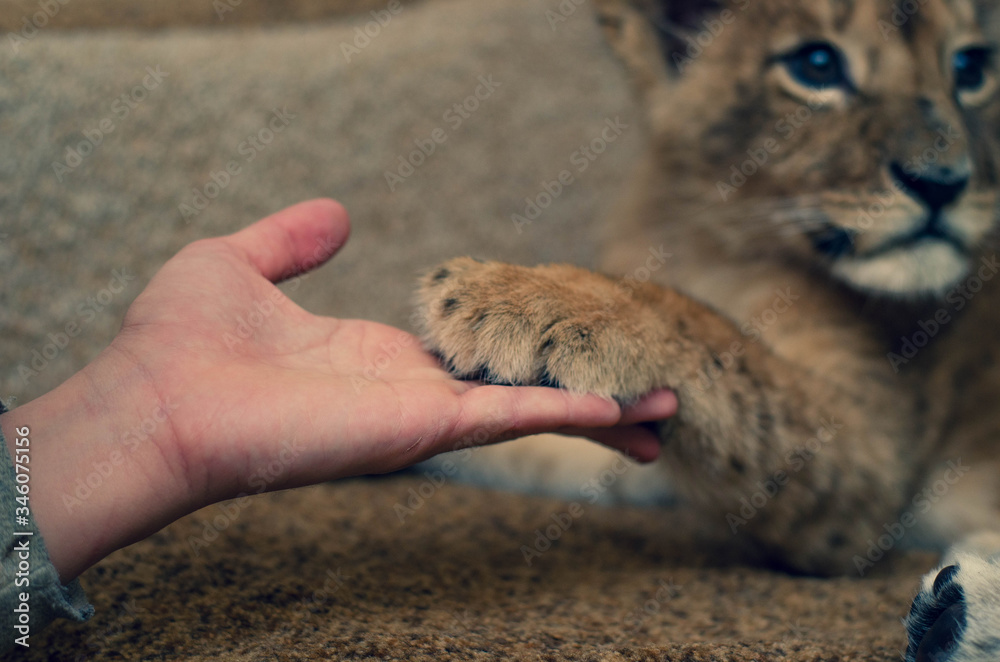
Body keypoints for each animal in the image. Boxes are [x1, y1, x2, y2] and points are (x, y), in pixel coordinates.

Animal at [416, 1, 1000, 659]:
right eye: (816, 64)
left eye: (970, 67)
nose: (943, 183)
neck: (715, 244)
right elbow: (545, 452)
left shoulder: (869, 474)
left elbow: (712, 332)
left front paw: (519, 297)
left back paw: (958, 611)